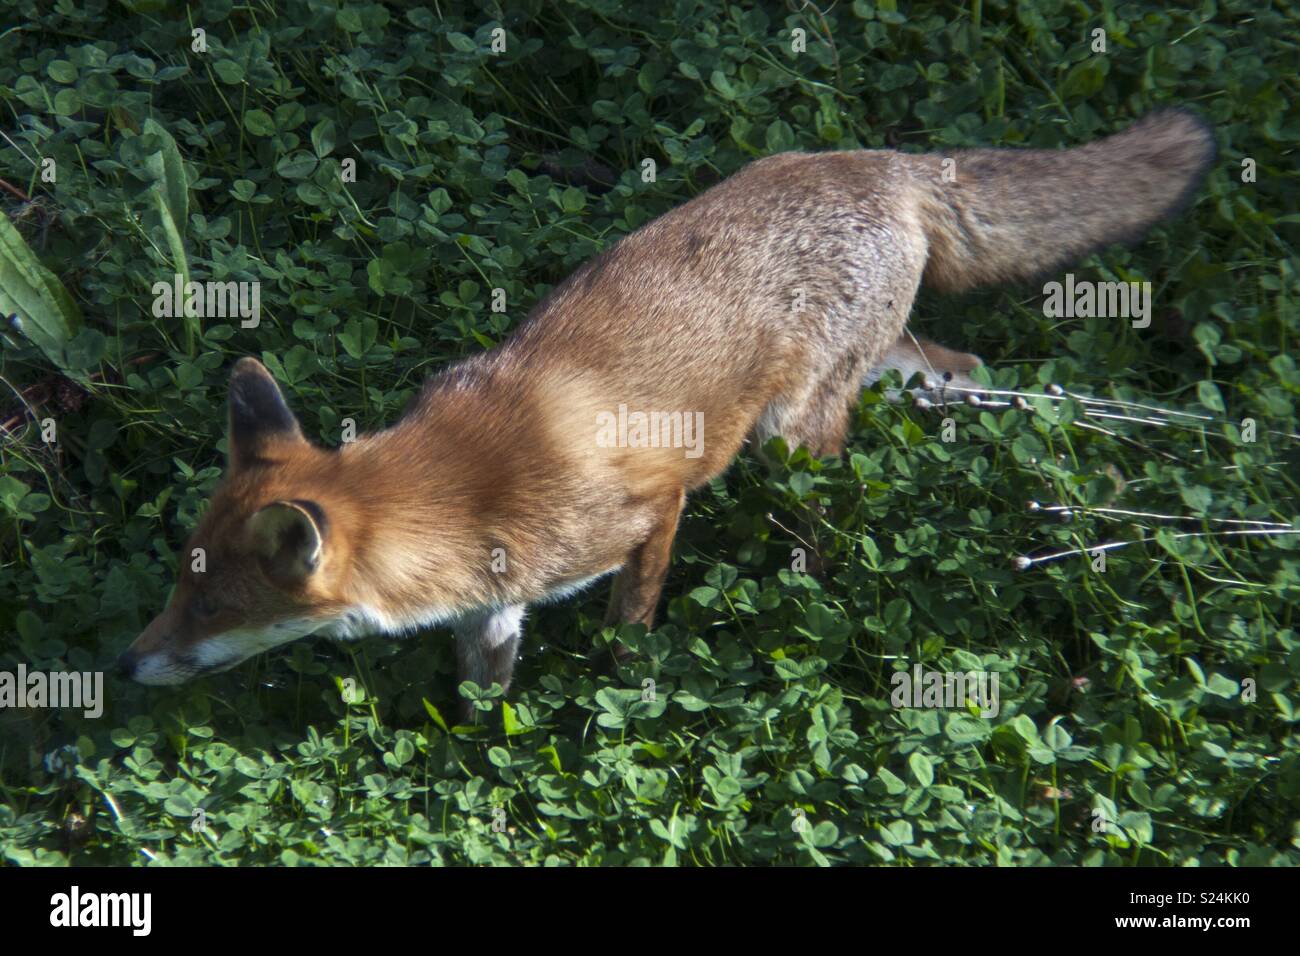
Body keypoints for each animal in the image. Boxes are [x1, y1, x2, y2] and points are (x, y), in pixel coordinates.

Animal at [119, 110, 1214, 718]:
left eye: (212, 609)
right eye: (177, 583)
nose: (124, 663)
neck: (461, 491)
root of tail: (883, 162)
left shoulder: (653, 511)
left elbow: (628, 624)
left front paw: (620, 682)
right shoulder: (497, 596)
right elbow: (486, 683)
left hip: (791, 434)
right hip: (874, 367)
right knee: (952, 361)